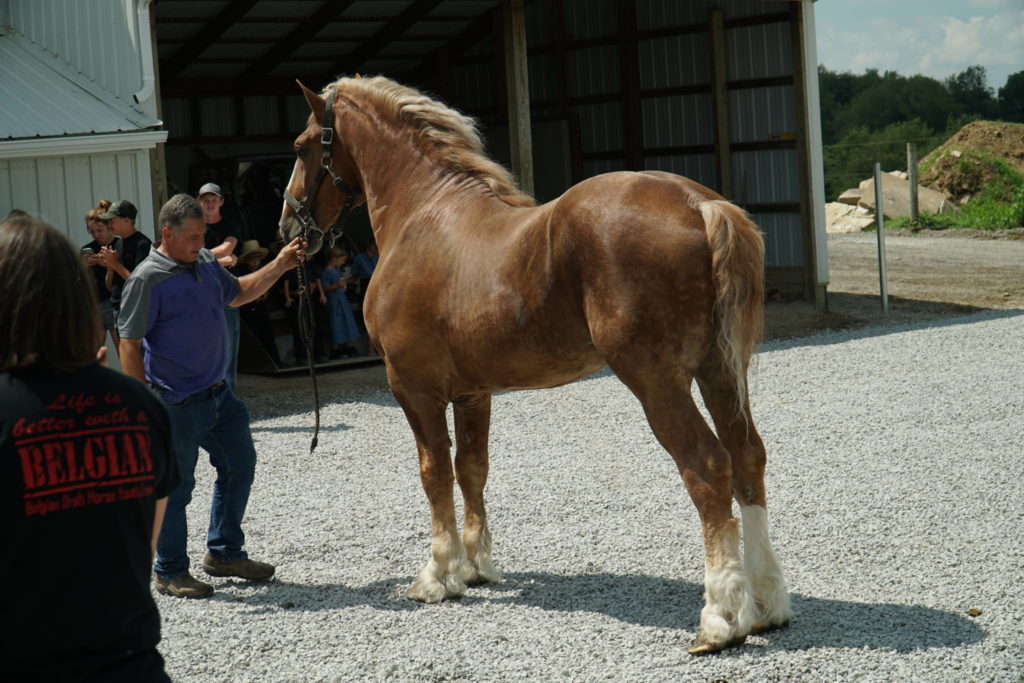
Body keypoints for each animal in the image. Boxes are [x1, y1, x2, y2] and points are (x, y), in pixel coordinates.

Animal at [279, 75, 793, 654]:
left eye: (301, 147)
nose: (287, 226)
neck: (423, 216)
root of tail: (697, 203)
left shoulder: (413, 388)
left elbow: (434, 473)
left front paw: (437, 576)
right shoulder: (473, 393)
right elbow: (471, 469)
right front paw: (476, 567)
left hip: (658, 382)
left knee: (707, 467)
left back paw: (721, 618)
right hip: (720, 372)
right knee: (748, 458)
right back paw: (767, 603)